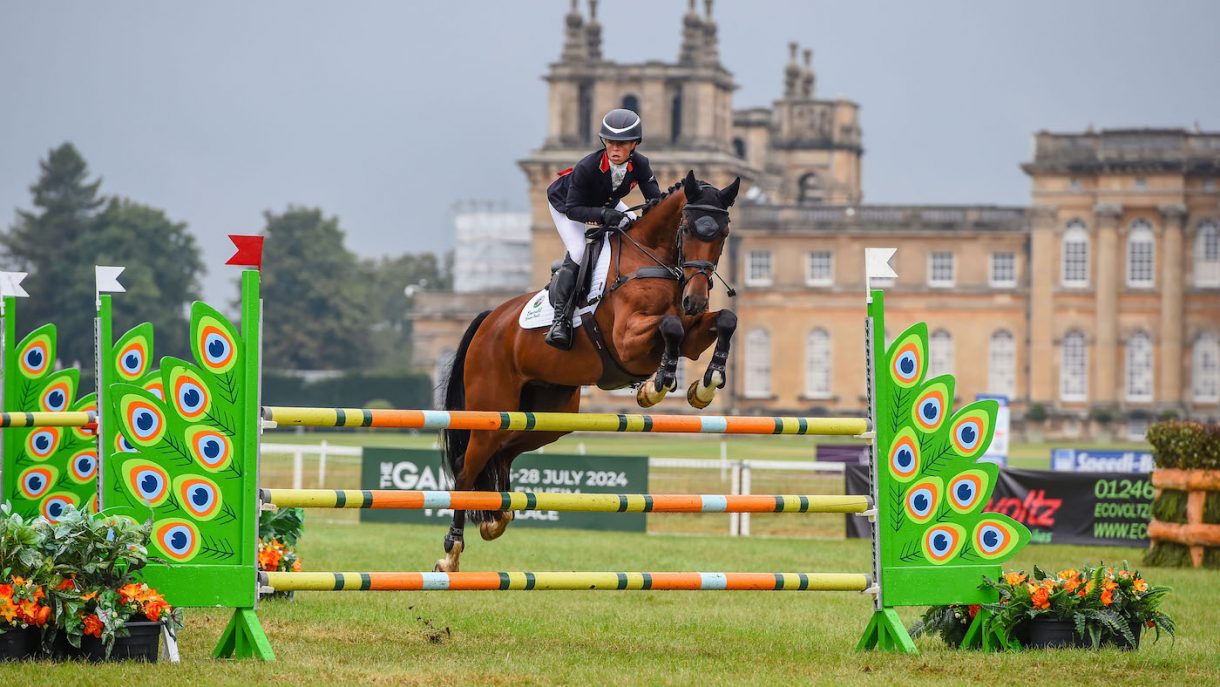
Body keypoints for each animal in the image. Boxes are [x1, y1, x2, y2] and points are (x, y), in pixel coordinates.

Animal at [435, 171, 741, 572]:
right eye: (688, 228)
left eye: (722, 234)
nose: (696, 299)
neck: (652, 258)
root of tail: (489, 319)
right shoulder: (628, 339)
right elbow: (671, 326)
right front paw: (656, 386)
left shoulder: (691, 334)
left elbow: (725, 319)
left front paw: (706, 385)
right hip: (491, 411)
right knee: (466, 468)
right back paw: (451, 553)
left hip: (547, 417)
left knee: (502, 454)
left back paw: (496, 519)